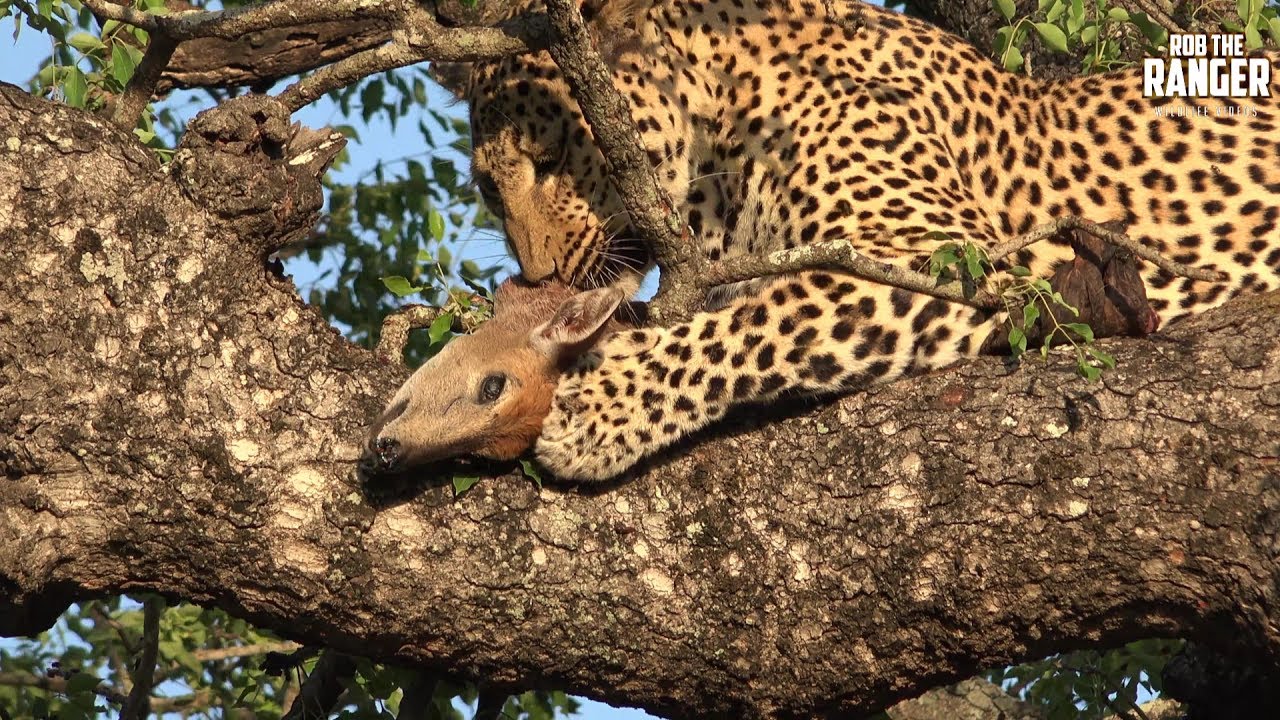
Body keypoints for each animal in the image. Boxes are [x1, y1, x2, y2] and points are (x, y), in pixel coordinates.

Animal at [451, 0, 1280, 480]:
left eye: (553, 158)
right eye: (489, 189)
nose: (540, 276)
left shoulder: (968, 262)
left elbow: (754, 326)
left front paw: (601, 408)